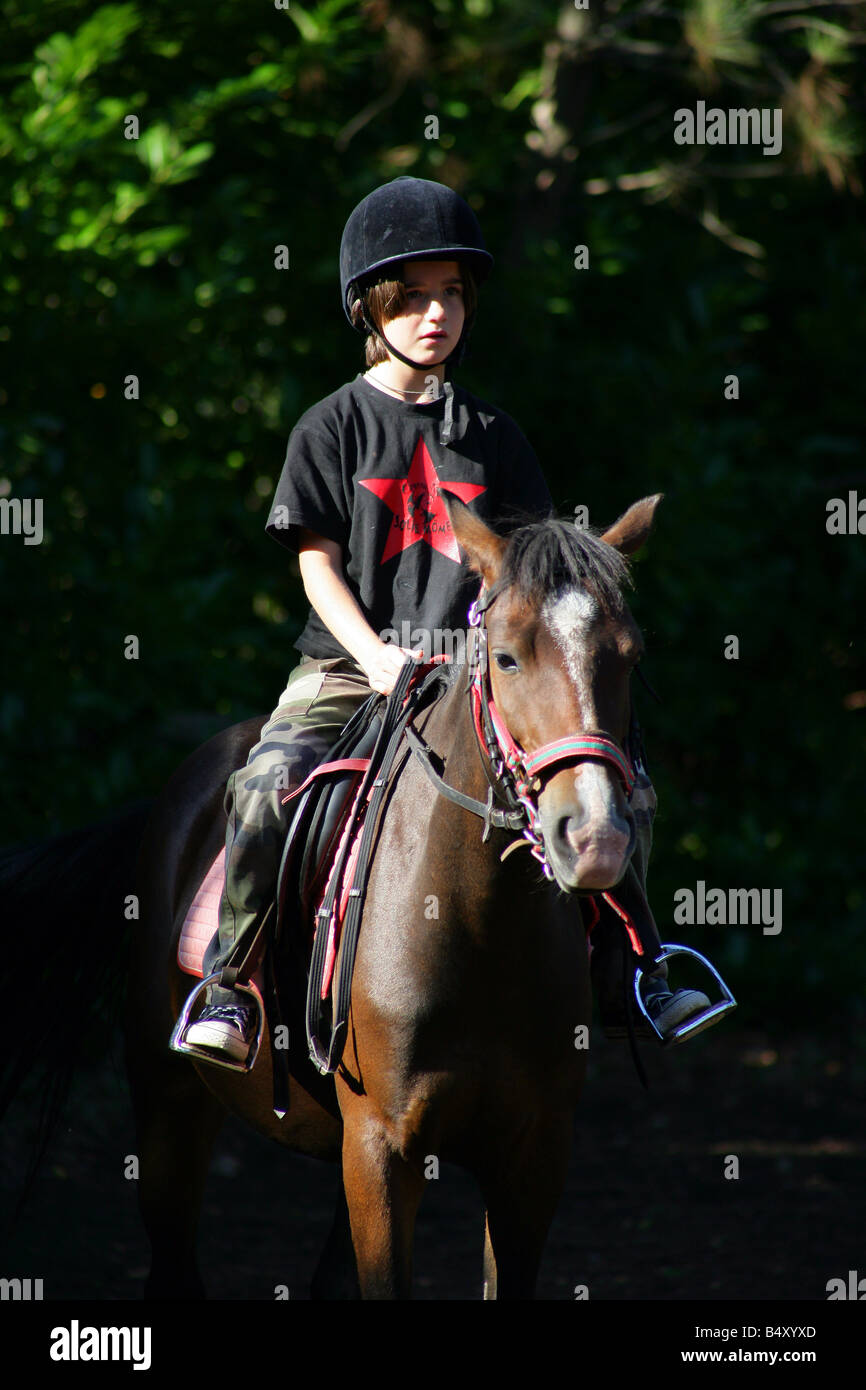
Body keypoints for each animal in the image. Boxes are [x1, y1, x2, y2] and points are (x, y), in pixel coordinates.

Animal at [3, 492, 660, 1300]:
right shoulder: (381, 1149)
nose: (594, 836)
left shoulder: (533, 1154)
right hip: (167, 1102)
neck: (481, 927)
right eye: (506, 656)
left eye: (629, 657)